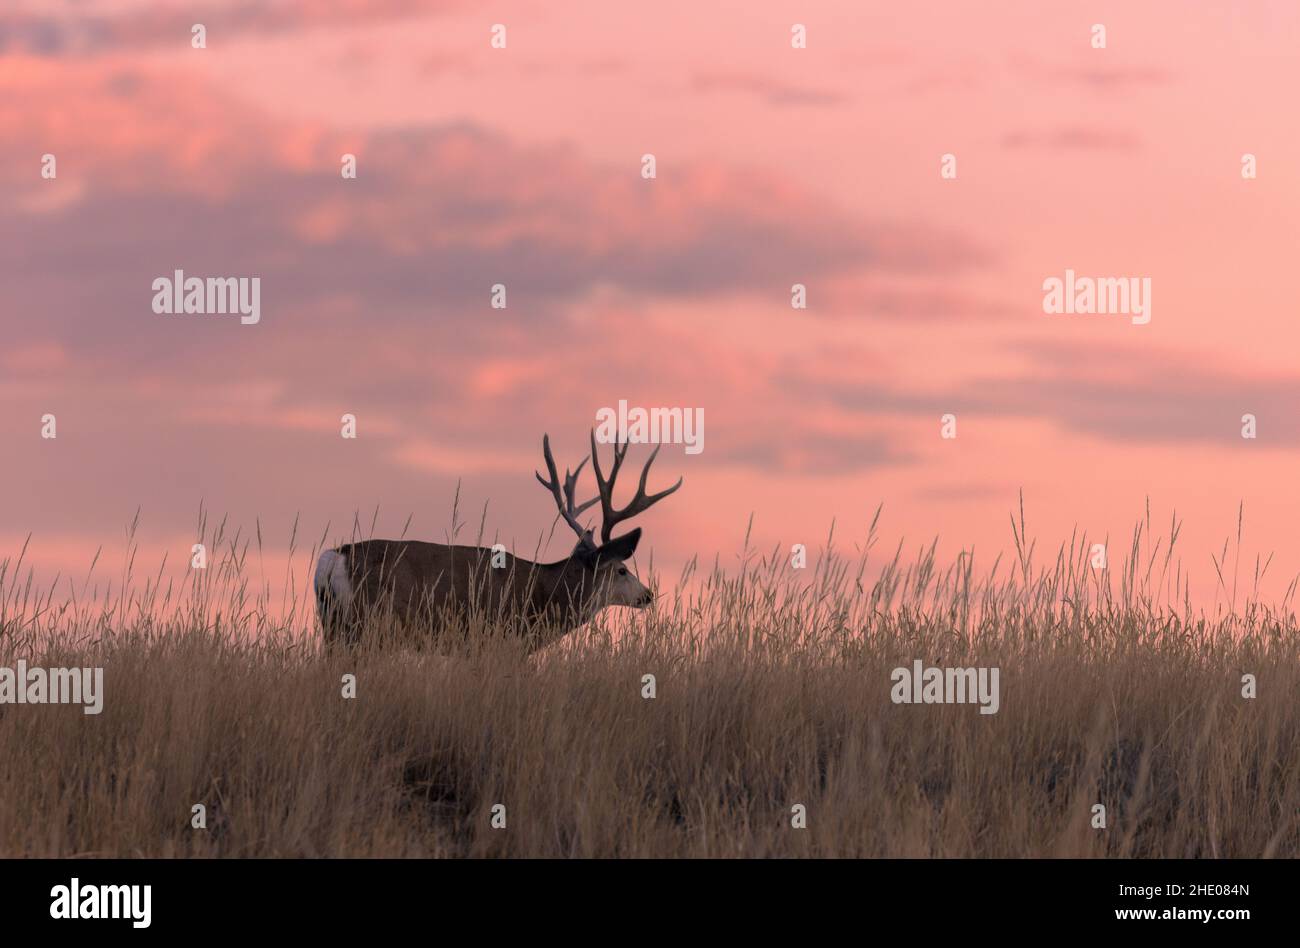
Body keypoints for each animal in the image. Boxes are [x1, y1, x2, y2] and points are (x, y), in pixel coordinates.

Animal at [313, 432, 682, 651]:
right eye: (622, 569)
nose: (648, 594)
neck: (542, 593)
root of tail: (334, 558)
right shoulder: (501, 637)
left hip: (334, 625)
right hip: (367, 623)